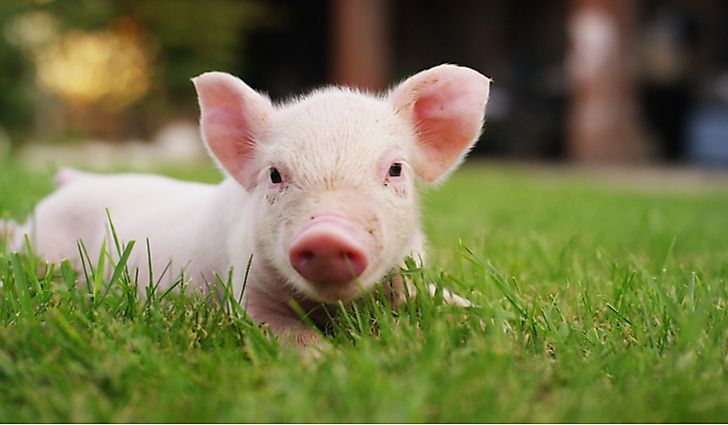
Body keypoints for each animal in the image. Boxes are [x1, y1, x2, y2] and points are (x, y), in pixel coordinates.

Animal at [3, 64, 490, 345]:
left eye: (395, 169)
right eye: (275, 174)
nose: (327, 234)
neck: (331, 308)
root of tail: (73, 180)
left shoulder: (407, 274)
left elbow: (446, 301)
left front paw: (491, 326)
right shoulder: (245, 291)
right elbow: (288, 335)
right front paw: (331, 361)